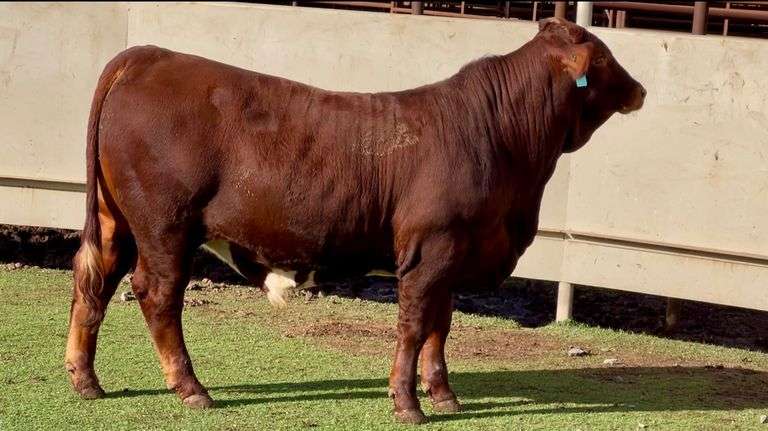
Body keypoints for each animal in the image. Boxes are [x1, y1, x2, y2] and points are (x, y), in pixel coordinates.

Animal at [65, 17, 645, 424]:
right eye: (605, 55)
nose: (640, 89)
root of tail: (149, 55)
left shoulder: (451, 256)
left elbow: (440, 327)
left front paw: (444, 395)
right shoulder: (430, 251)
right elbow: (414, 326)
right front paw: (407, 402)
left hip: (117, 221)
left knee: (93, 279)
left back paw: (86, 380)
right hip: (166, 227)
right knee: (157, 293)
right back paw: (191, 388)